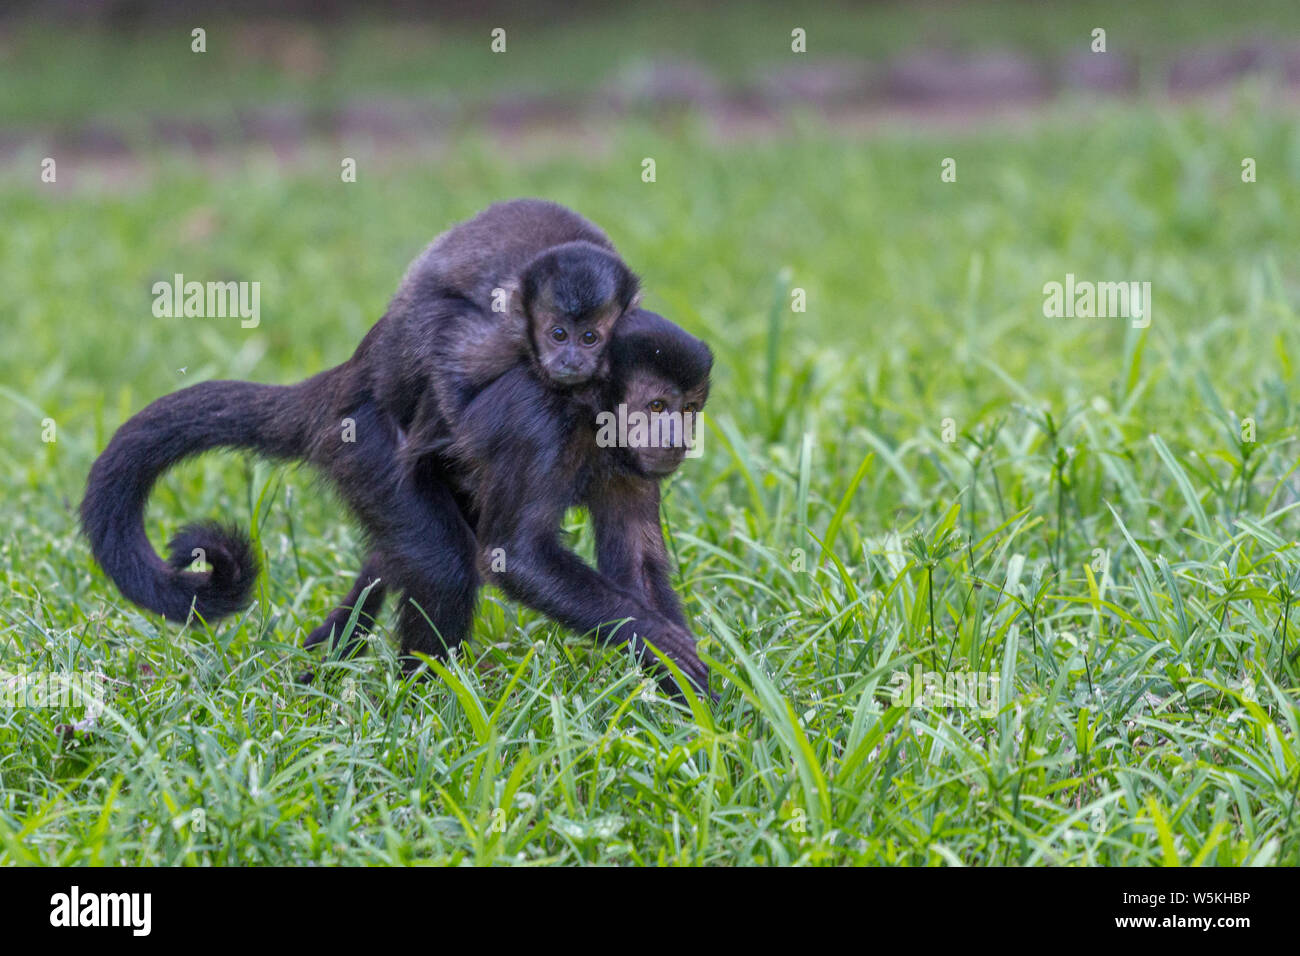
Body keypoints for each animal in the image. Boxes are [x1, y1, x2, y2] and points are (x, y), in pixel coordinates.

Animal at [304, 309, 714, 697]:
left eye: (689, 409)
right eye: (657, 406)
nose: (677, 439)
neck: (590, 411)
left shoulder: (635, 465)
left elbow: (638, 568)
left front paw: (693, 703)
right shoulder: (537, 425)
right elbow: (515, 556)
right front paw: (656, 637)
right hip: (364, 443)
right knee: (442, 563)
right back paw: (423, 696)